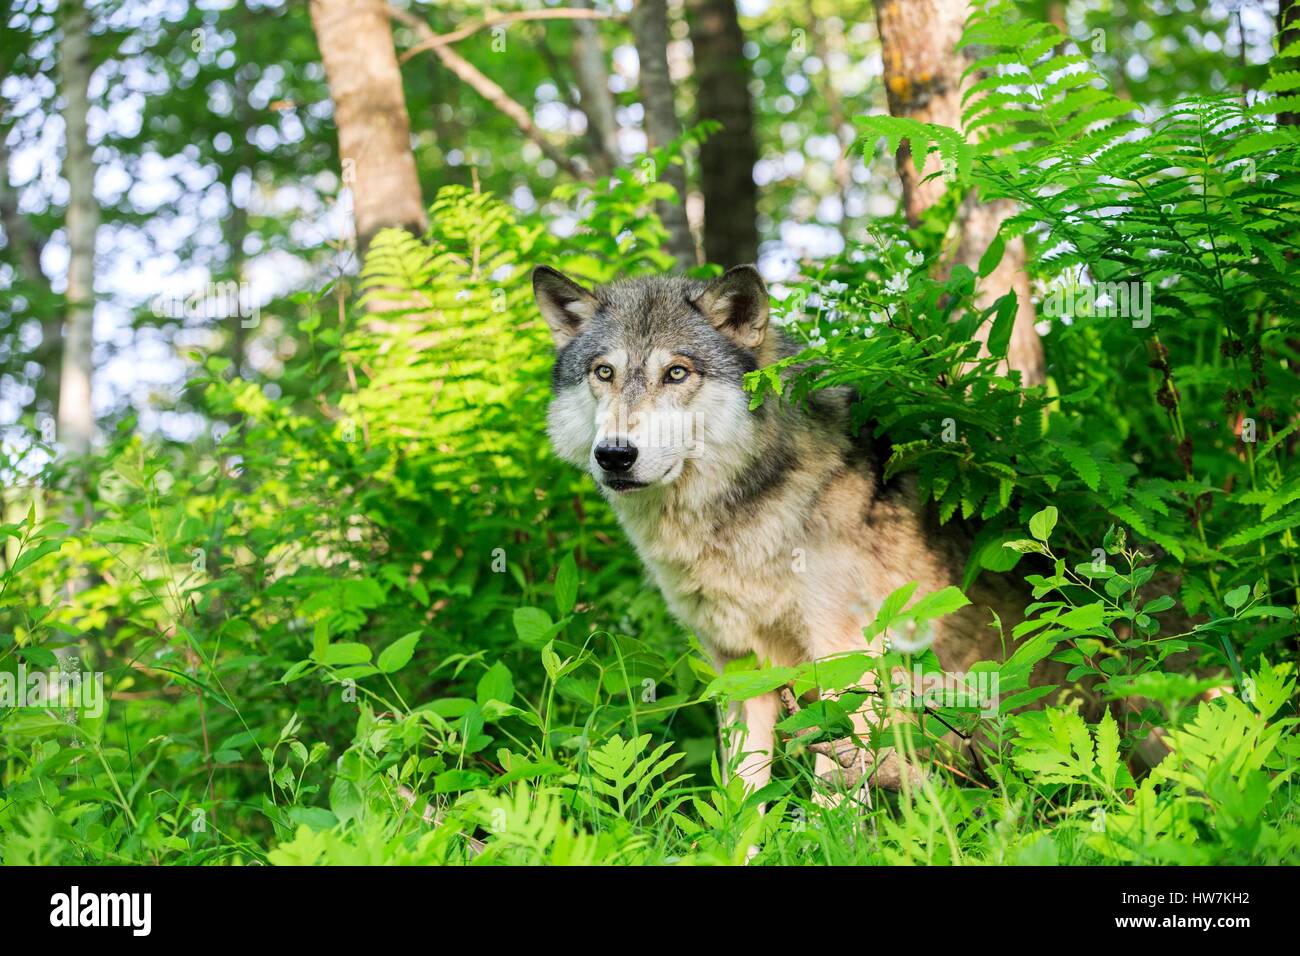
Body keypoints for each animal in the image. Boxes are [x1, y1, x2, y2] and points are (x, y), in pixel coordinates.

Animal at [532, 263, 1069, 797]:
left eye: (677, 372)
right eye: (604, 372)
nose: (614, 455)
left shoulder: (842, 658)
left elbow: (833, 792)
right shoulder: (739, 668)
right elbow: (742, 795)